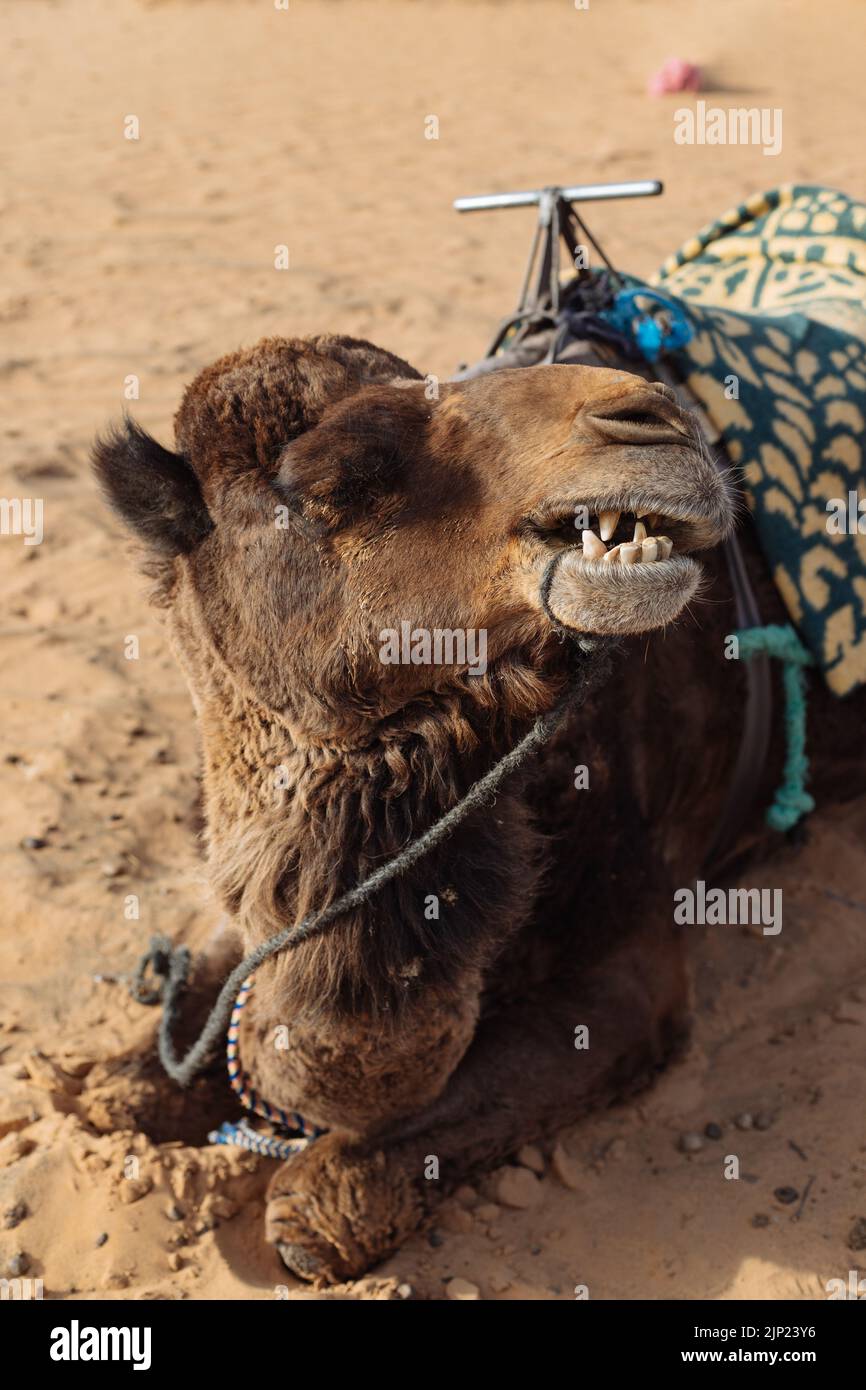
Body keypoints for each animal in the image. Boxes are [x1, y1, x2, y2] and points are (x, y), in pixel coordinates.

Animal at [93, 333, 865, 1284]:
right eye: (330, 481)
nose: (656, 421)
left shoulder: (626, 980)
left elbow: (332, 1187)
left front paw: (319, 1209)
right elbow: (154, 1048)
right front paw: (124, 1076)